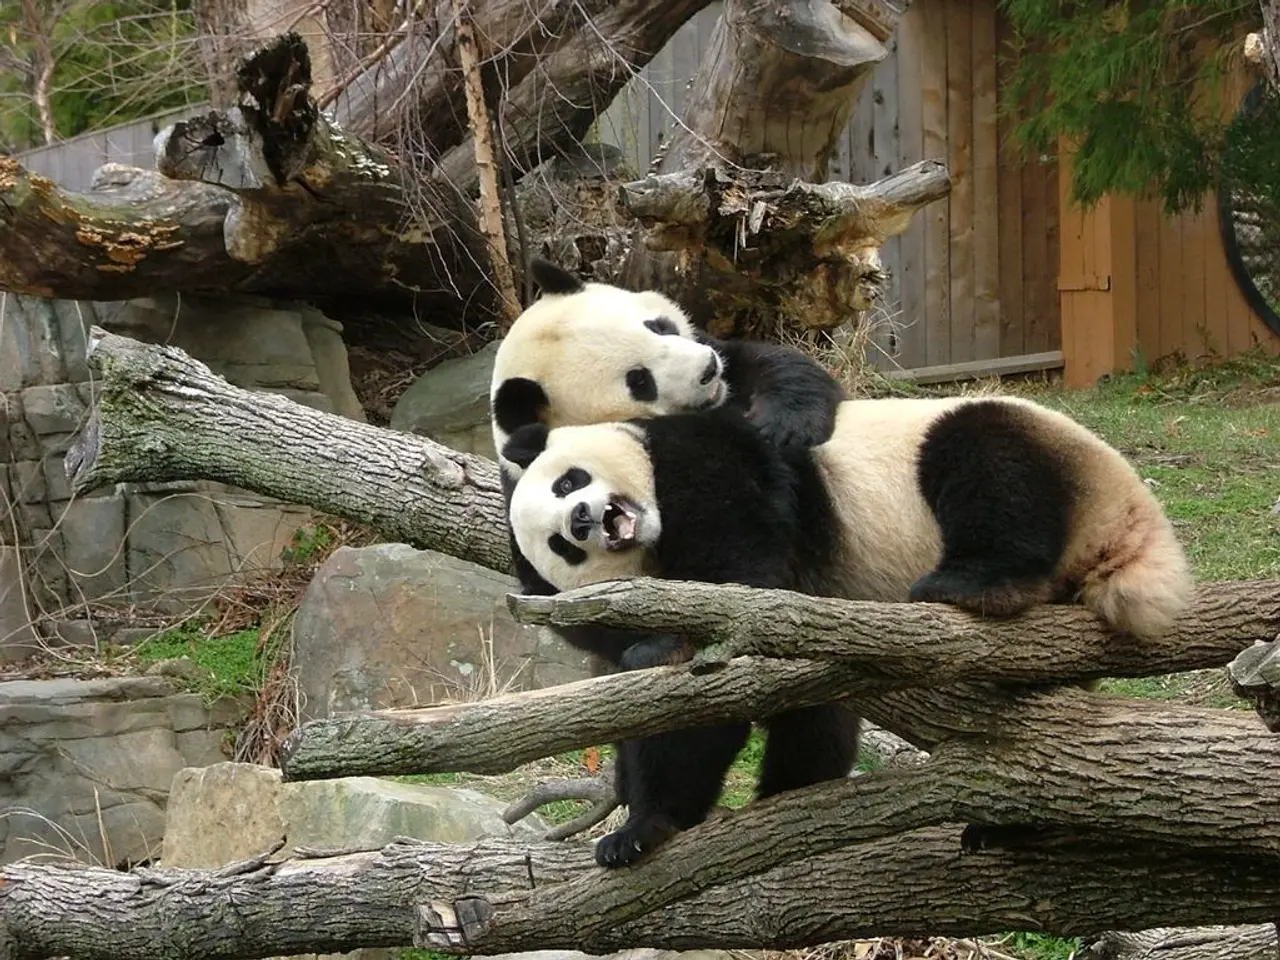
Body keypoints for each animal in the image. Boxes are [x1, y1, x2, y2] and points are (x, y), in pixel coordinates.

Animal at [503, 392, 1194, 863]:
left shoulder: (704, 467)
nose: (586, 518)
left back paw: (972, 583)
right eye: (563, 547)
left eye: (568, 481)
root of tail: (1131, 519)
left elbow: (733, 601)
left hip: (1045, 458)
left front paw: (647, 820)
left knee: (984, 457)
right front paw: (641, 823)